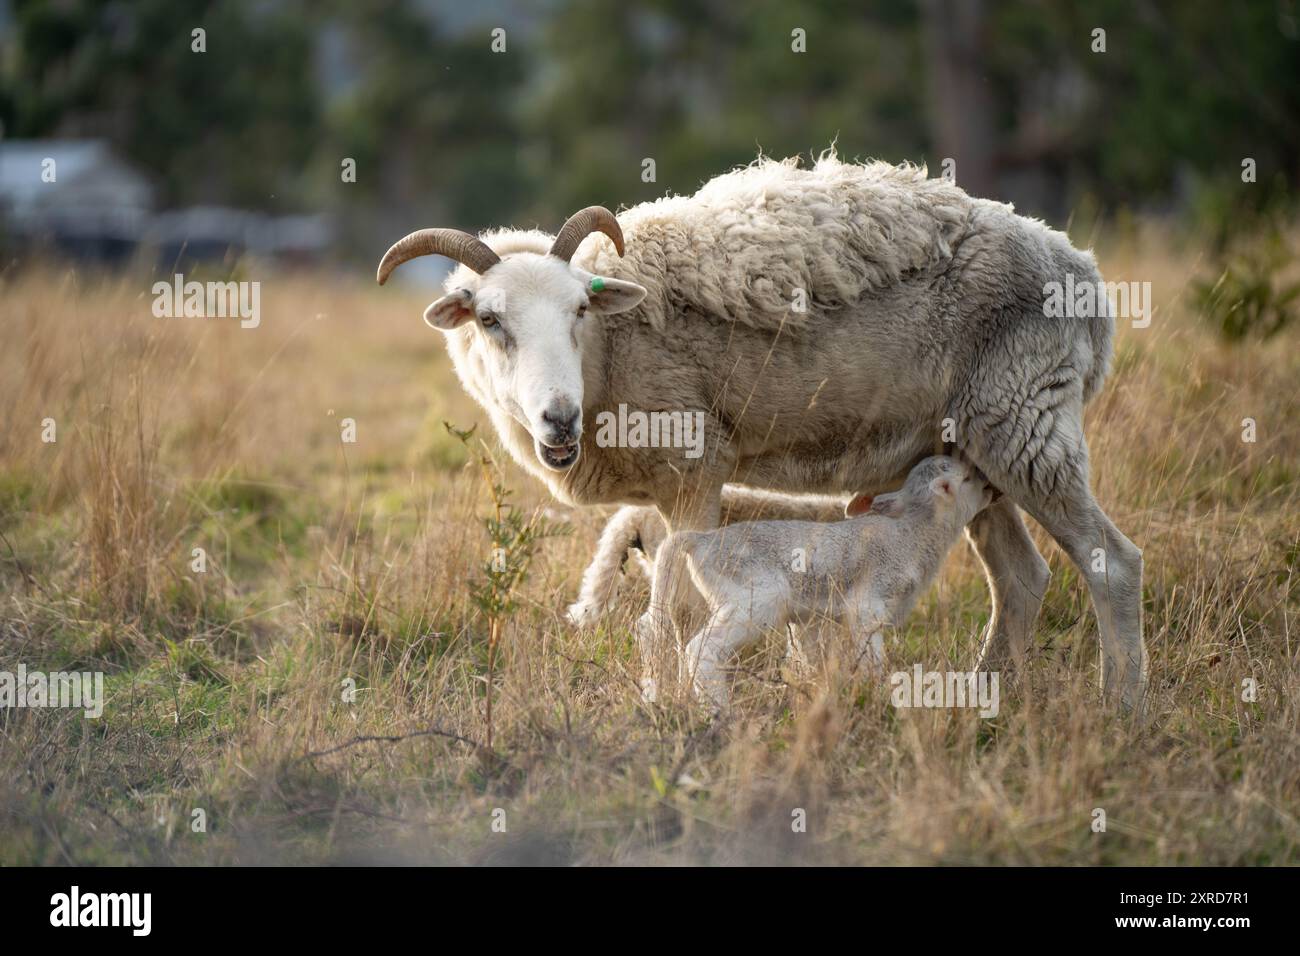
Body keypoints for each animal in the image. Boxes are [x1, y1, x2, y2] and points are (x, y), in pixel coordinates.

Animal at [639, 456, 996, 709]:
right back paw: (720, 711)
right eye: (966, 478)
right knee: (702, 649)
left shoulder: (811, 619)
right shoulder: (867, 608)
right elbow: (874, 663)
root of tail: (701, 539)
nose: (992, 486)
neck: (912, 534)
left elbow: (813, 661)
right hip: (756, 600)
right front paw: (880, 696)